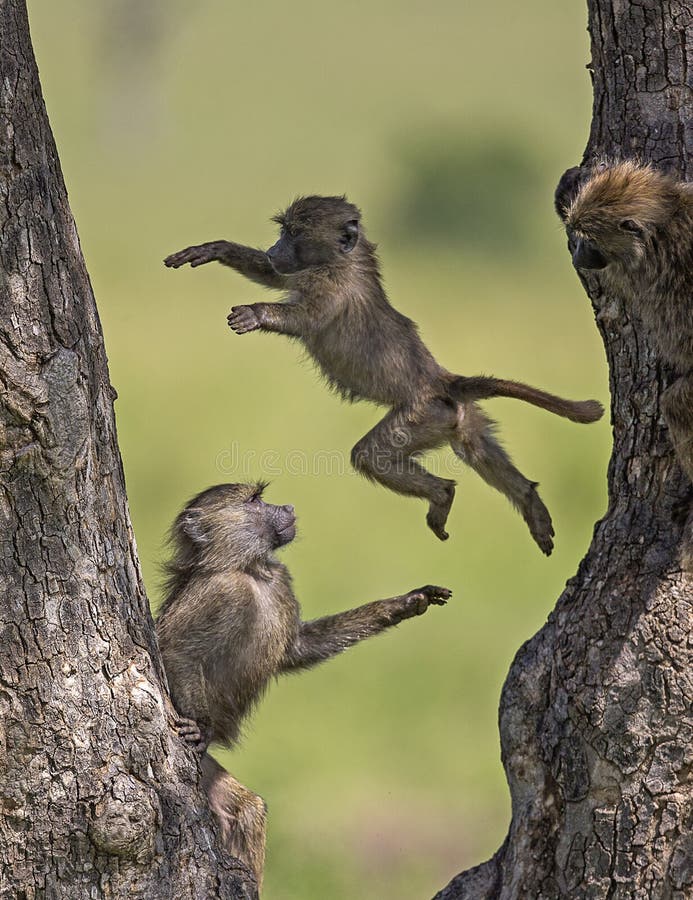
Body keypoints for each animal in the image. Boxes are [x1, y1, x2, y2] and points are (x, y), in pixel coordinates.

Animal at [155, 482, 451, 884]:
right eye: (254, 500)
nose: (289, 507)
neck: (251, 571)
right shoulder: (220, 595)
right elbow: (177, 651)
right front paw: (201, 727)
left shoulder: (281, 580)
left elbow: (299, 649)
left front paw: (405, 603)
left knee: (248, 810)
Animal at [164, 197, 604, 554]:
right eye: (282, 231)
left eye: (294, 233)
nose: (274, 250)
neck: (344, 260)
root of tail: (441, 381)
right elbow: (274, 277)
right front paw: (215, 249)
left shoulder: (331, 288)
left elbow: (303, 318)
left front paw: (255, 314)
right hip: (460, 419)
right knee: (479, 451)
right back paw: (531, 505)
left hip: (420, 416)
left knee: (373, 456)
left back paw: (442, 496)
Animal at [555, 159, 693, 485]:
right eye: (579, 239)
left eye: (589, 242)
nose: (577, 258)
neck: (665, 215)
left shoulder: (636, 270)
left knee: (675, 404)